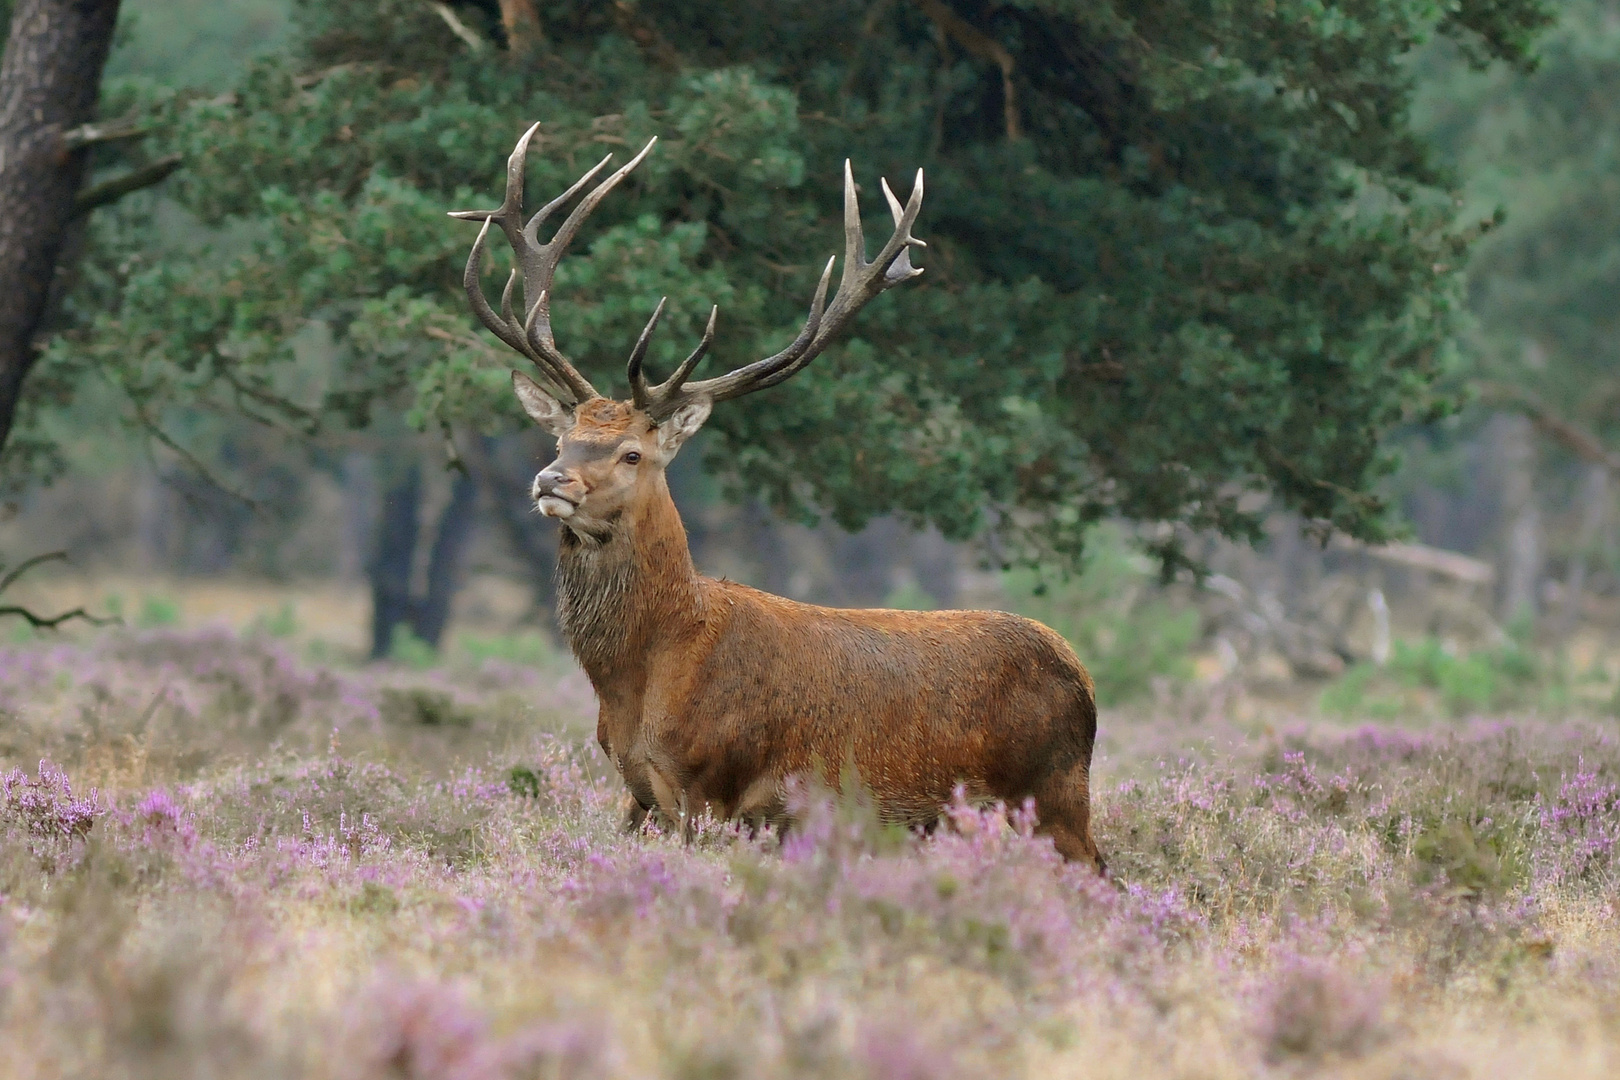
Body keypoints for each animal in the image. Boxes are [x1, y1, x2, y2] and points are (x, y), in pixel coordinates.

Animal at [451, 124, 1103, 868]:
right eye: (563, 439)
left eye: (632, 453)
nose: (549, 481)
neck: (644, 680)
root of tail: (1084, 680)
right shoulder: (638, 795)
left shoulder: (710, 785)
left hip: (1055, 796)